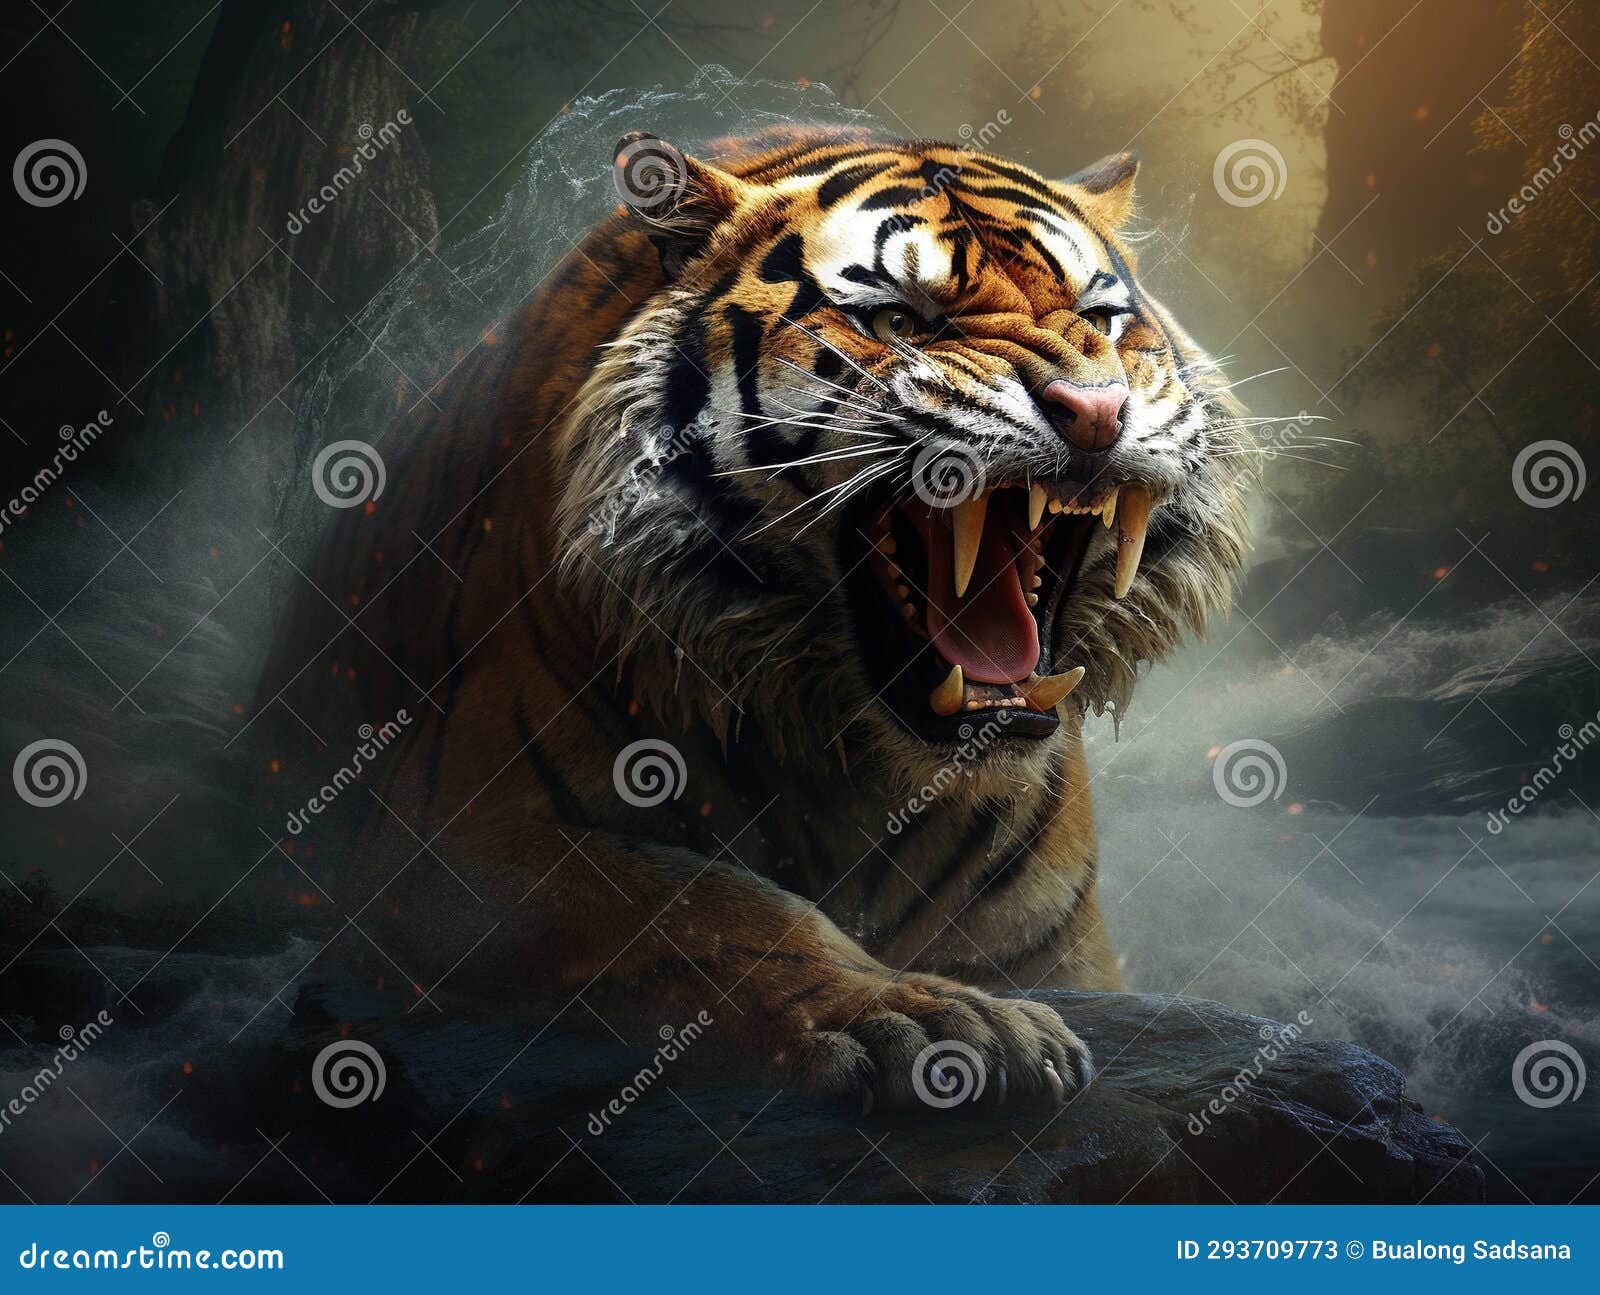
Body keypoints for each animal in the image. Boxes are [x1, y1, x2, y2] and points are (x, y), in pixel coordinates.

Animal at [262, 125, 1248, 1113]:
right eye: (900, 323)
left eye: (1103, 321)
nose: (1096, 412)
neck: (862, 770)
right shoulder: (442, 850)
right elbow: (707, 908)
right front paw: (932, 1021)